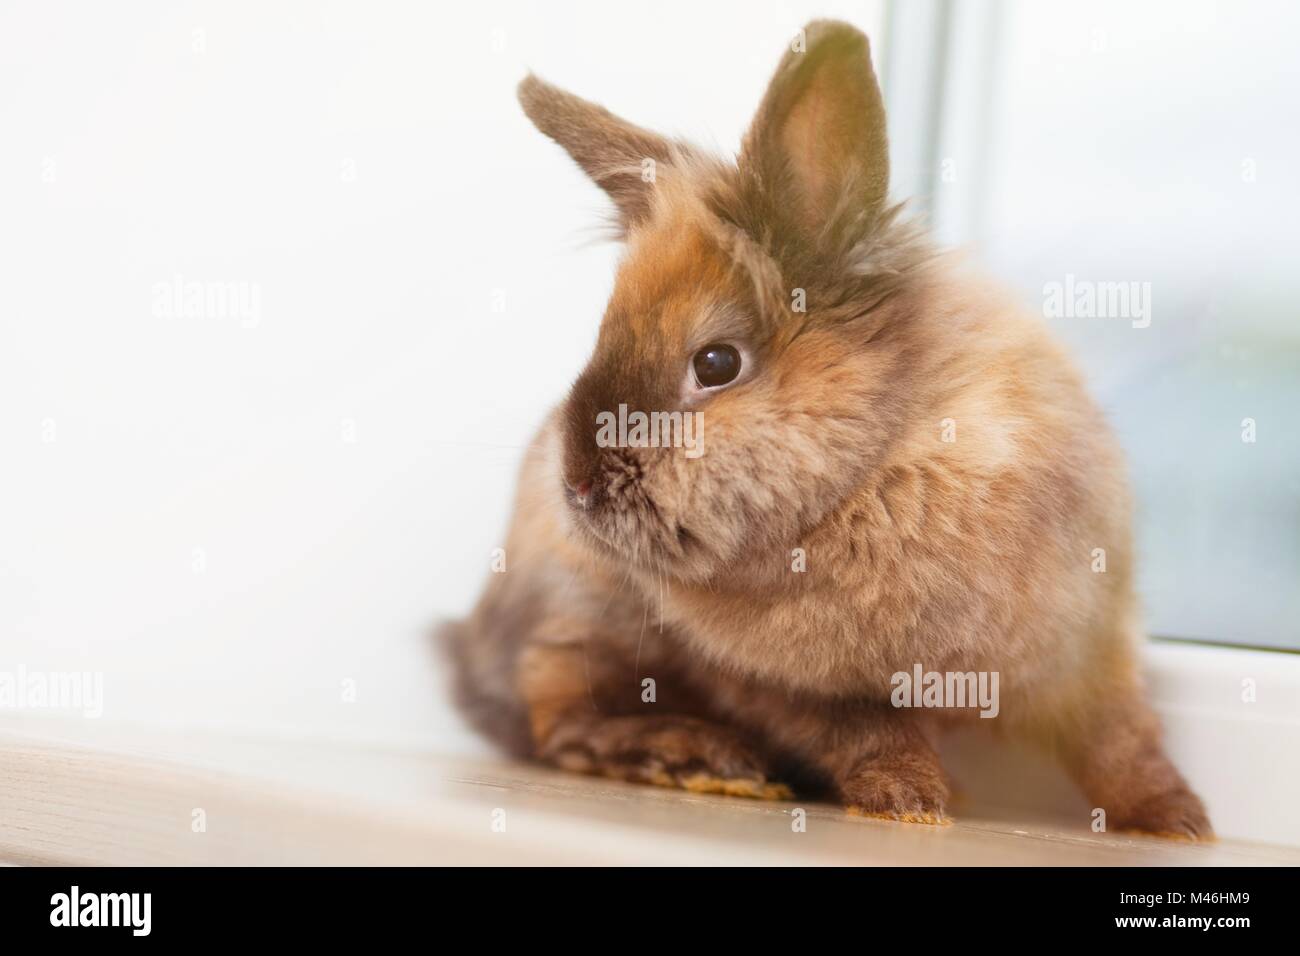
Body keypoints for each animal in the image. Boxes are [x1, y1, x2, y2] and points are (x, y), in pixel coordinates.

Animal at [443, 19, 1212, 838]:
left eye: (716, 363)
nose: (577, 485)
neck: (880, 467)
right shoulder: (781, 687)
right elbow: (868, 732)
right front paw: (909, 801)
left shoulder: (1087, 643)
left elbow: (1120, 737)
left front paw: (1175, 820)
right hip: (576, 621)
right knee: (557, 723)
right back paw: (691, 755)